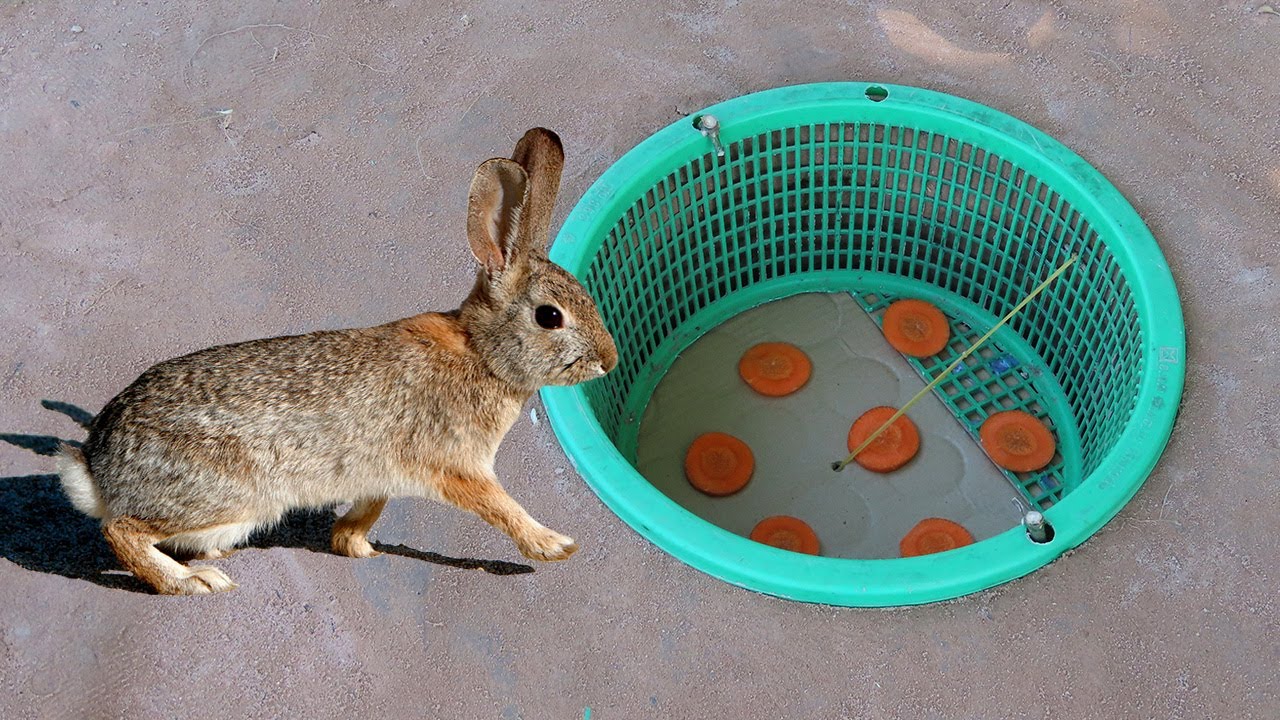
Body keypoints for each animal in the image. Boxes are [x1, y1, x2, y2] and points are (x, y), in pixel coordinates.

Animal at [54, 127, 618, 595]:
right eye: (550, 316)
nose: (608, 362)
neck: (483, 354)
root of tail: (98, 471)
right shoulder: (457, 466)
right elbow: (502, 507)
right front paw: (554, 546)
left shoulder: (382, 476)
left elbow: (368, 510)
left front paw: (356, 546)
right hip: (226, 494)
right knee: (121, 530)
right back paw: (193, 581)